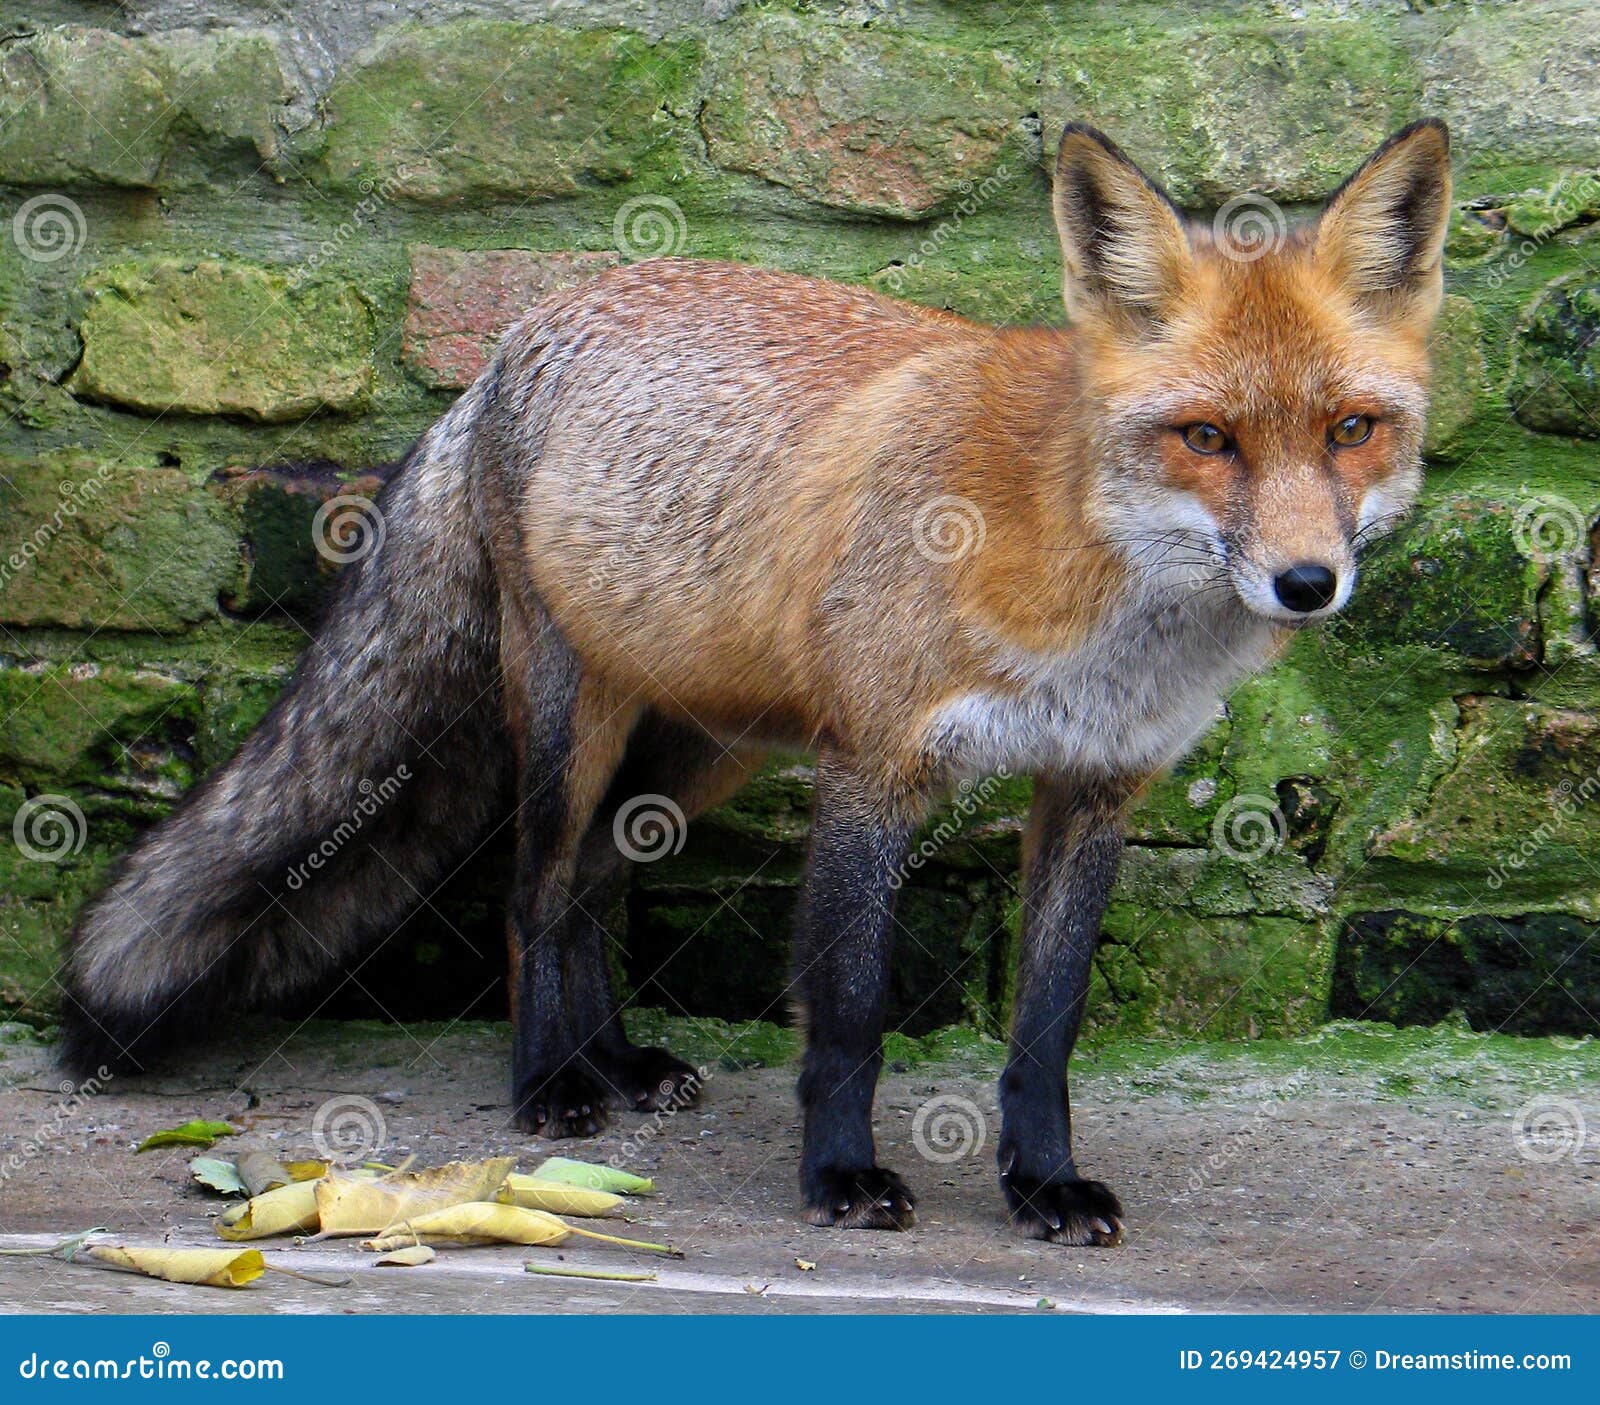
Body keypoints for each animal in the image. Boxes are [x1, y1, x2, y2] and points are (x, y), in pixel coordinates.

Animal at [59, 120, 1452, 1244]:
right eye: (1205, 437)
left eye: (1350, 430)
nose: (1307, 583)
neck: (1089, 591)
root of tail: (515, 339)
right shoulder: (873, 769)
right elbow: (845, 1014)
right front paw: (839, 1177)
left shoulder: (1091, 787)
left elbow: (1044, 1029)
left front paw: (1042, 1185)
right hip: (573, 721)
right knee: (530, 890)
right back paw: (550, 1086)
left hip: (701, 755)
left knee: (588, 894)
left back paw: (616, 1063)